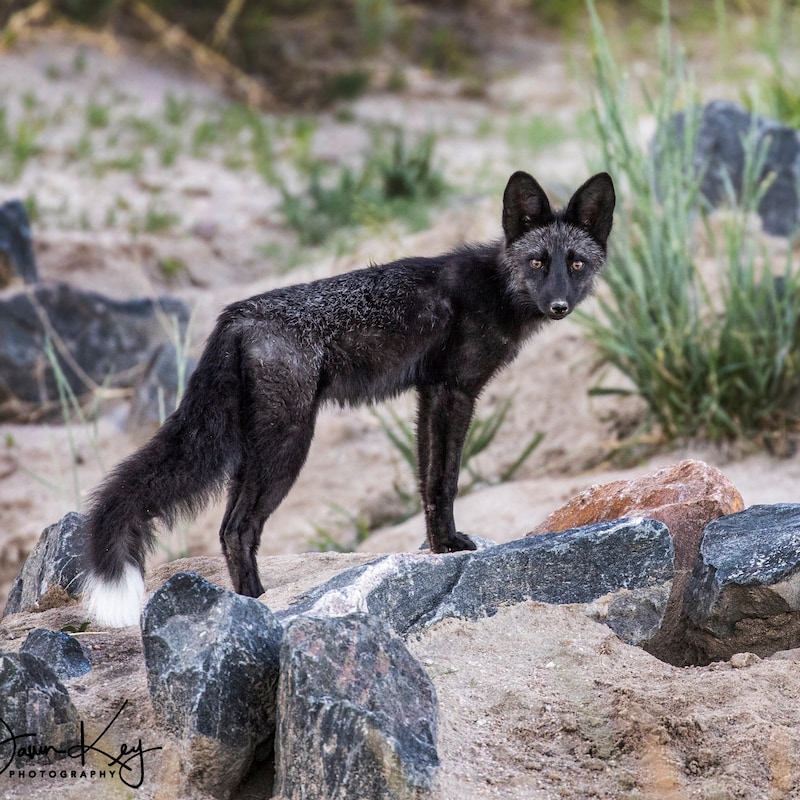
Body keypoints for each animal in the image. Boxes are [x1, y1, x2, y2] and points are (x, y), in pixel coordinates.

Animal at [82, 170, 615, 627]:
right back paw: (257, 602)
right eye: (537, 262)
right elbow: (445, 480)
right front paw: (450, 546)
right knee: (237, 528)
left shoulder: (429, 393)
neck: (496, 288)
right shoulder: (454, 390)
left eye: (576, 264)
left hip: (255, 448)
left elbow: (427, 481)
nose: (559, 306)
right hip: (288, 445)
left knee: (228, 527)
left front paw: (436, 547)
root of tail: (235, 316)